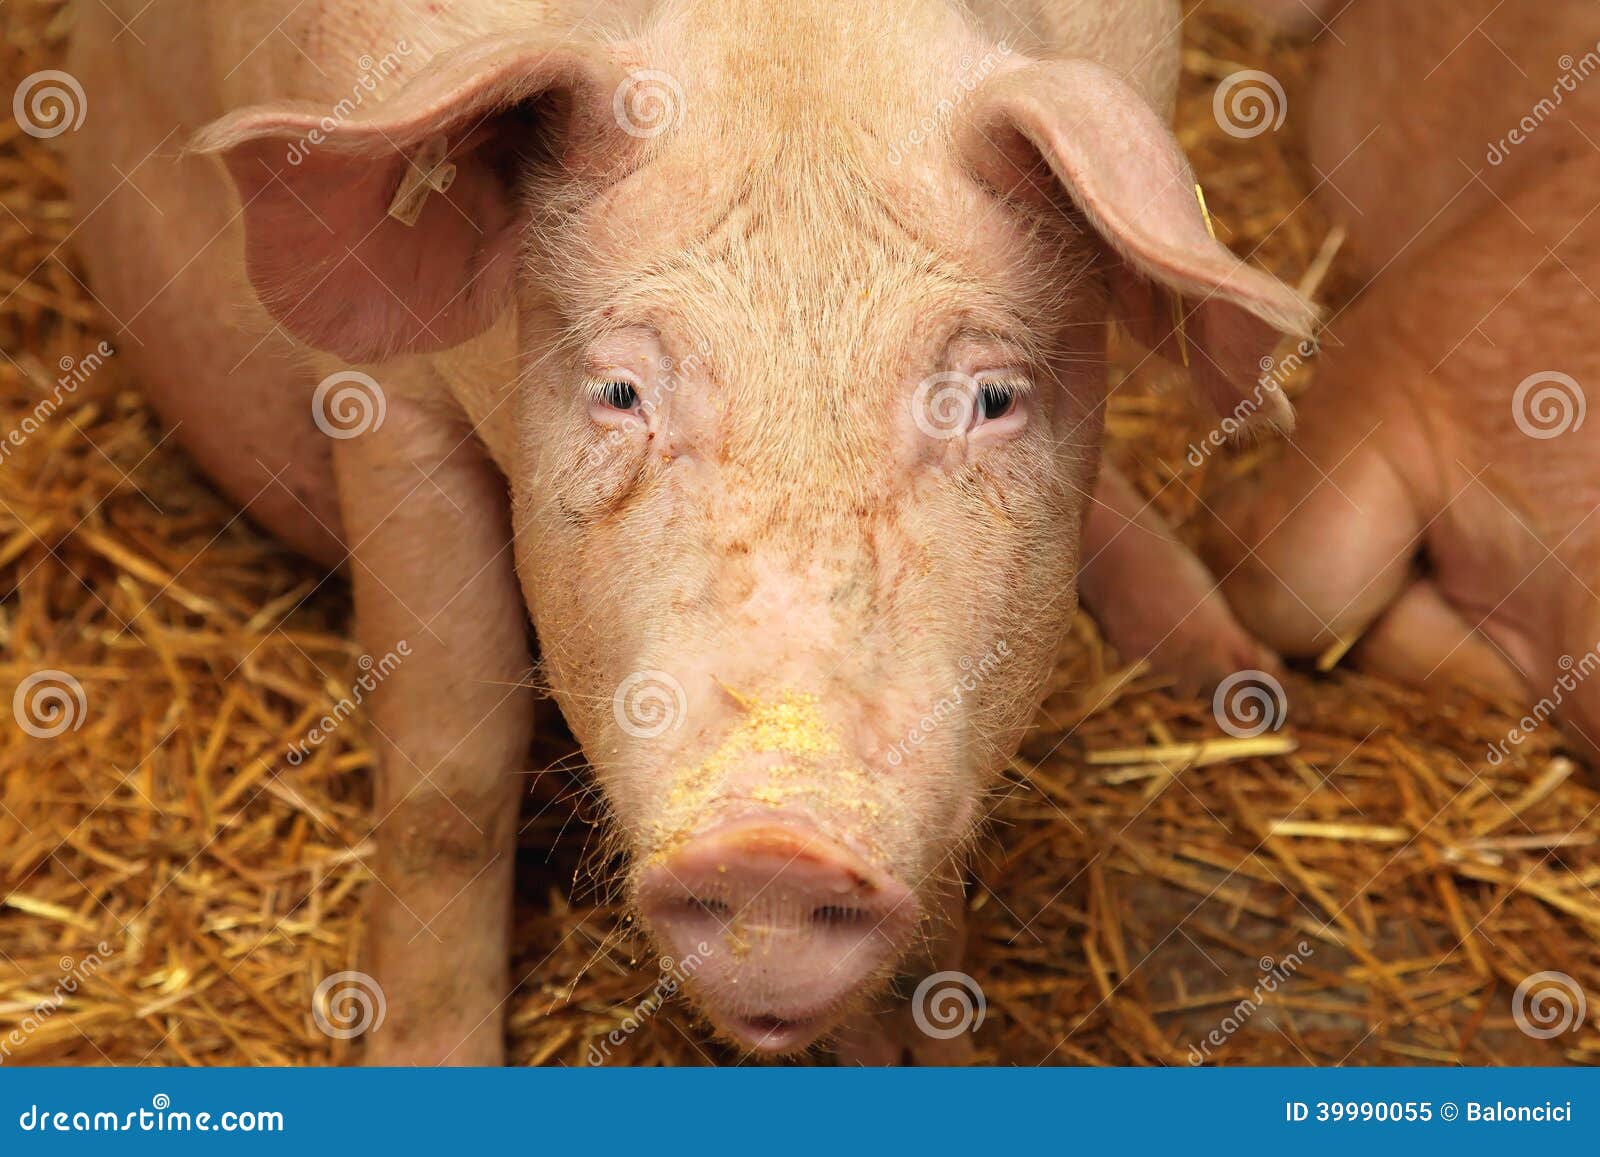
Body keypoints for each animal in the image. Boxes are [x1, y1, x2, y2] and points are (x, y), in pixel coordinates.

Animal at [67, 0, 1312, 1063]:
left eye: (991, 399)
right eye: (620, 392)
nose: (777, 843)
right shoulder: (385, 399)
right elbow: (450, 779)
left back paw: (1232, 669)